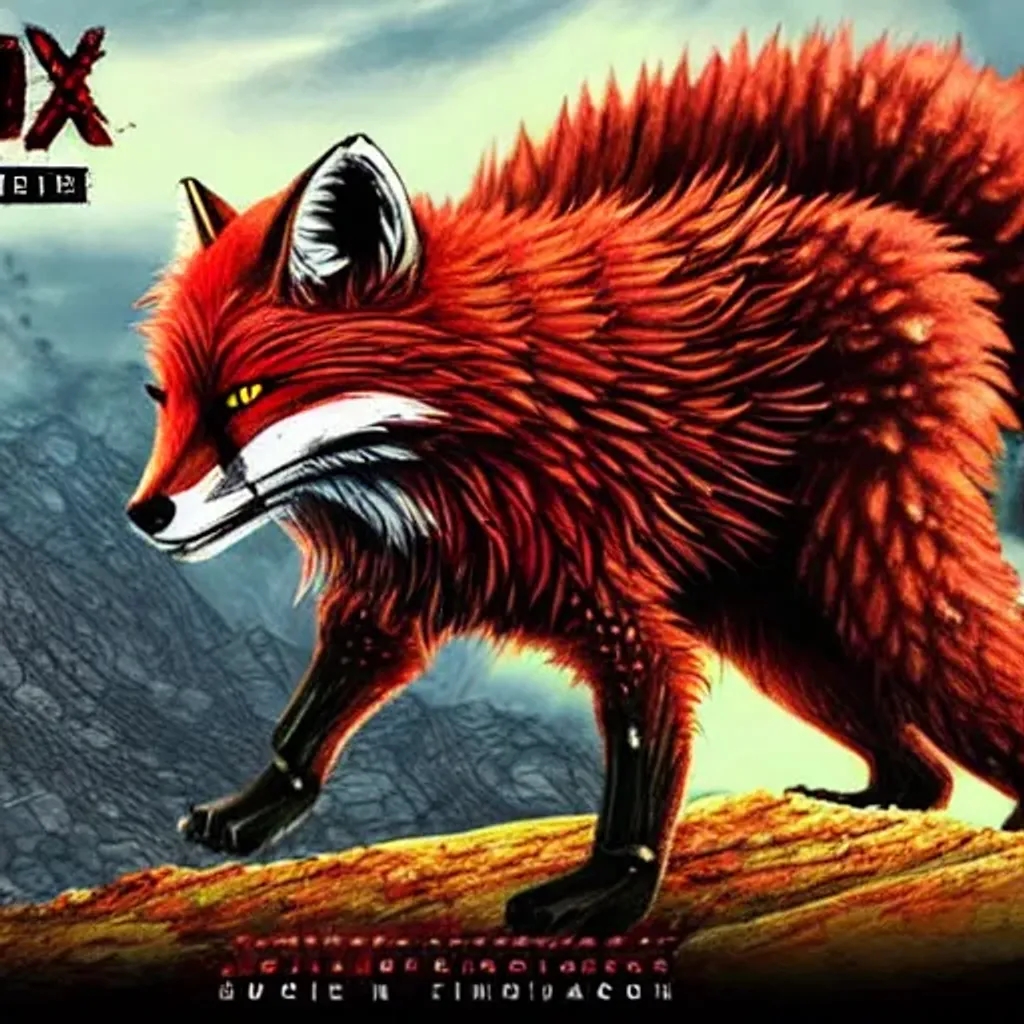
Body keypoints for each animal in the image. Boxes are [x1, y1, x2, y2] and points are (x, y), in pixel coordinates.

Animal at [126, 26, 1024, 936]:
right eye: (166, 398)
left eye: (243, 397)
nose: (143, 515)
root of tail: (908, 228)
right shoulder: (403, 588)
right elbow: (310, 719)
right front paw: (258, 806)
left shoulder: (614, 605)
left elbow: (640, 757)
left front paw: (612, 886)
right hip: (778, 630)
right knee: (924, 773)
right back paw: (880, 798)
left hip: (877, 575)